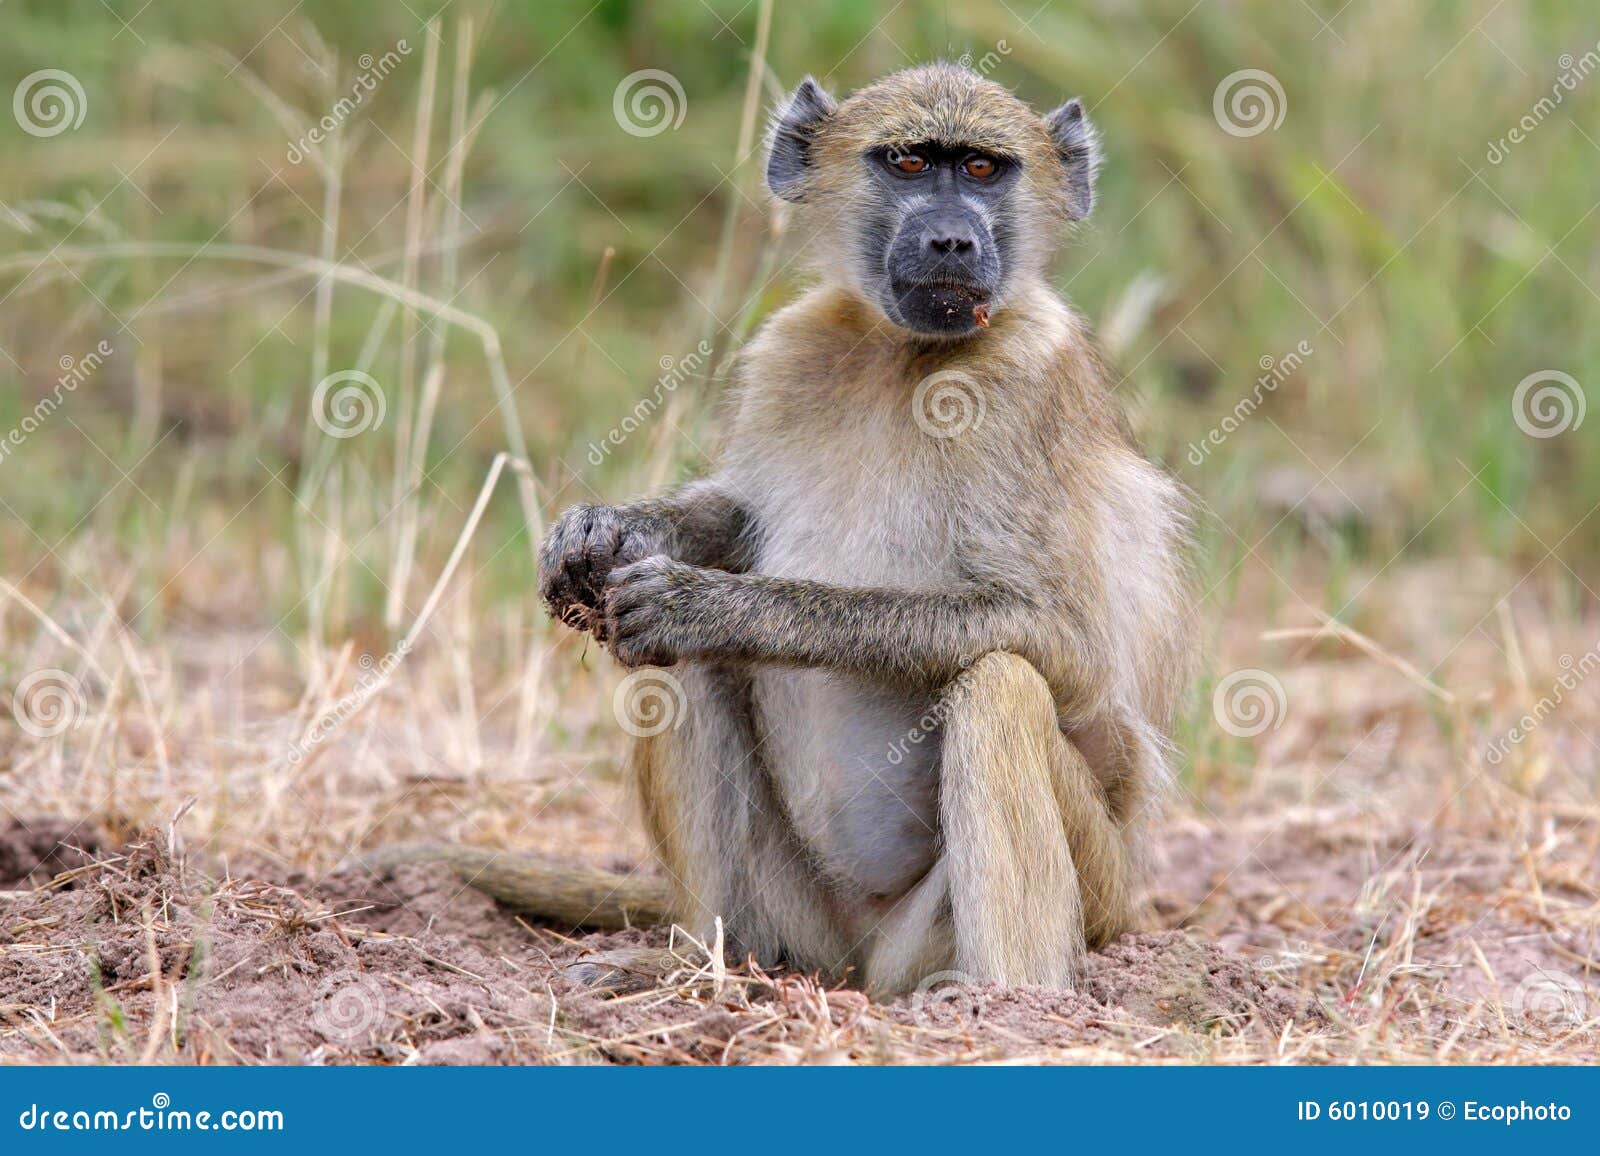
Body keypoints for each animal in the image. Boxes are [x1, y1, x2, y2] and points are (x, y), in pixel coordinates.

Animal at [375, 63, 1196, 995]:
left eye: (985, 169)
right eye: (911, 162)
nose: (953, 242)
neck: (904, 356)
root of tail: (855, 961)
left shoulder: (1032, 384)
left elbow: (1062, 640)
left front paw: (717, 607)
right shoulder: (787, 350)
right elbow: (733, 520)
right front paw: (607, 534)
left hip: (1072, 899)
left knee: (999, 686)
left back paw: (1003, 1000)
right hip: (804, 922)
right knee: (675, 674)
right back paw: (700, 963)